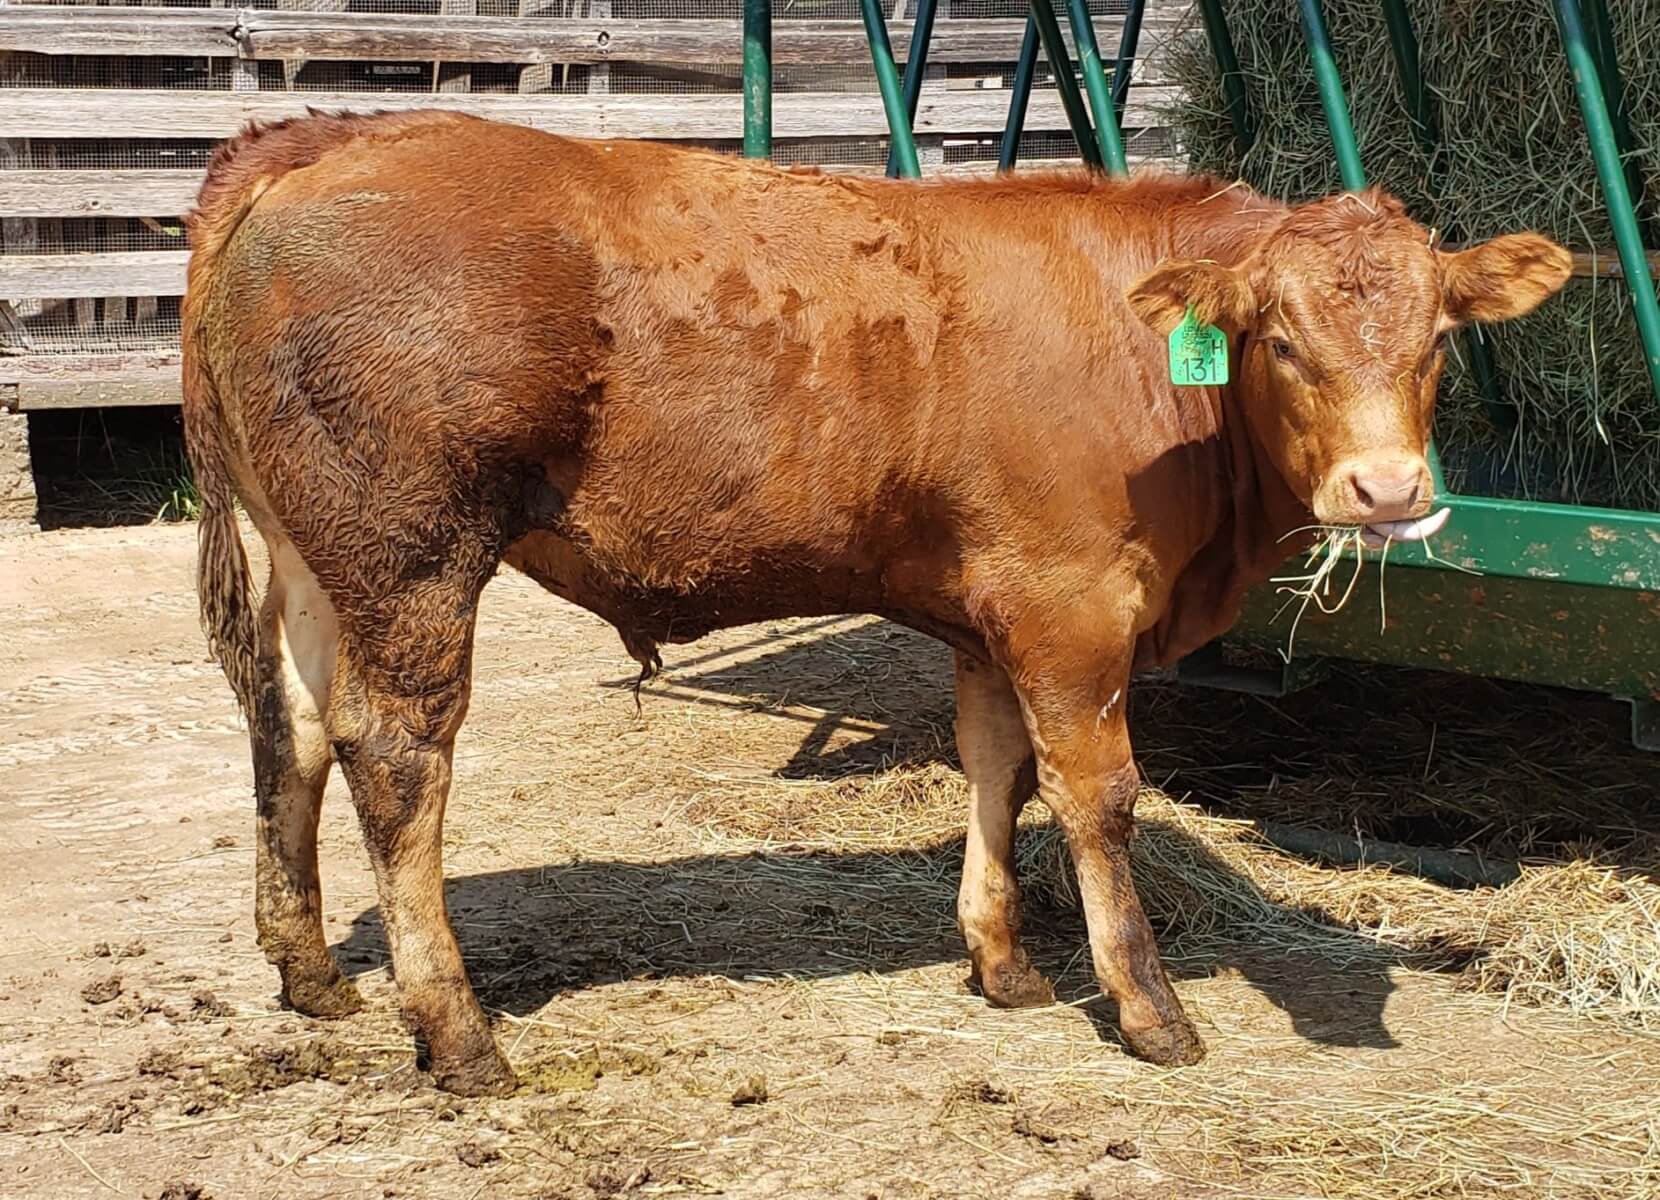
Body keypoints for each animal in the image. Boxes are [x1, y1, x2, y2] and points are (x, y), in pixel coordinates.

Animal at [180, 110, 1571, 1095]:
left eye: (1439, 337)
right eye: (1275, 337)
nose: (1387, 488)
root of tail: (316, 141)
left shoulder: (992, 609)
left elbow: (997, 770)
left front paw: (1001, 963)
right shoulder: (1072, 602)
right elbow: (1098, 795)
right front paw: (1148, 1008)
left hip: (312, 555)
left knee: (289, 732)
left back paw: (310, 972)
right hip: (410, 555)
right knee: (395, 757)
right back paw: (458, 1034)